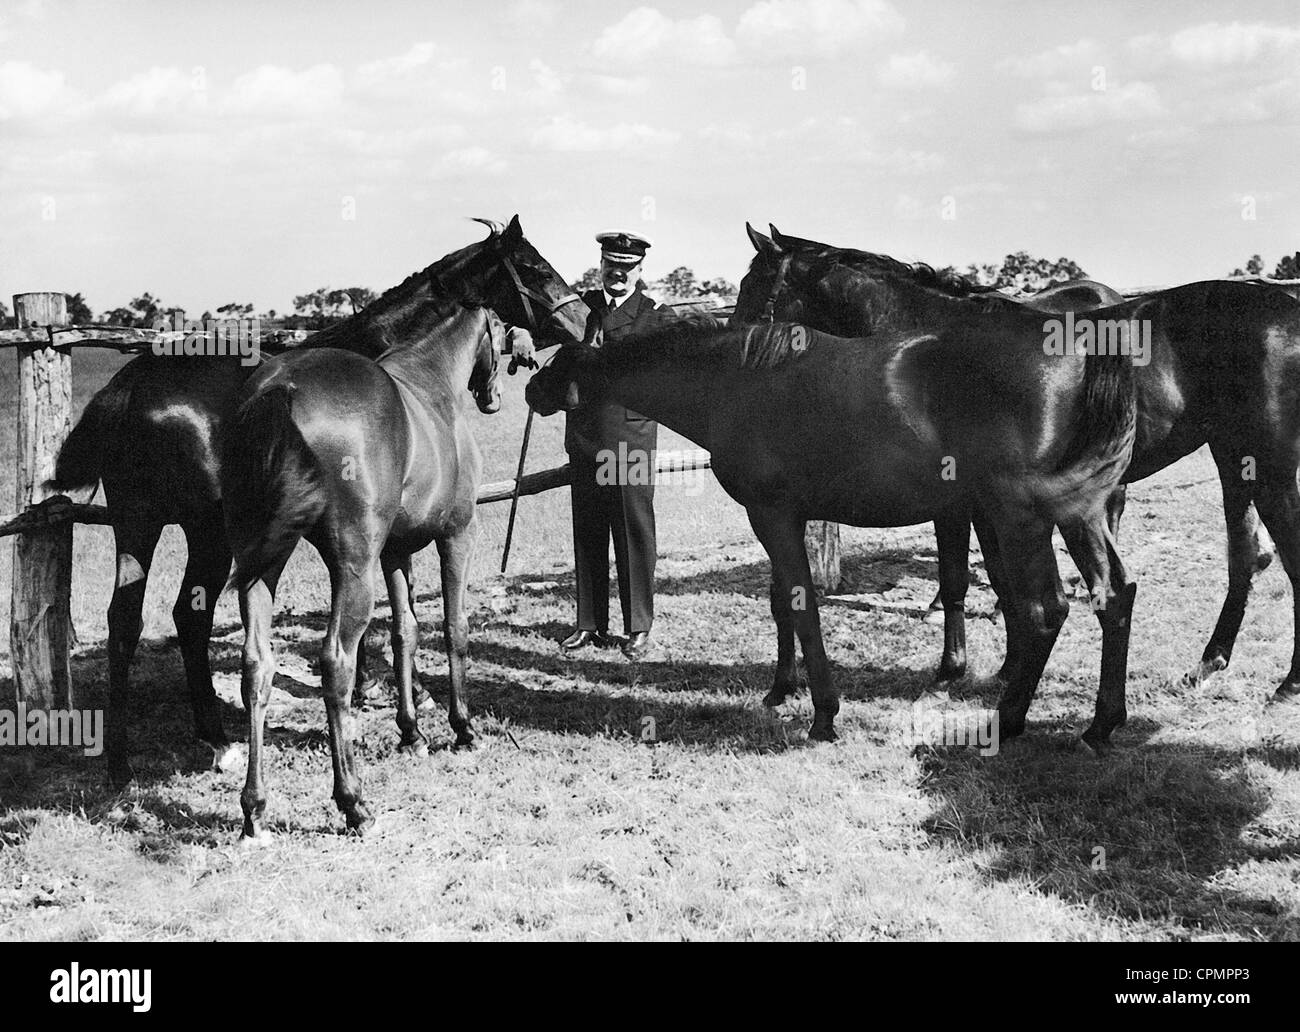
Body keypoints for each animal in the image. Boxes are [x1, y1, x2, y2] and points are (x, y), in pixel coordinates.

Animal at [52, 215, 590, 786]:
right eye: (535, 266)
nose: (582, 321)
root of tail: (131, 384)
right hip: (208, 534)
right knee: (188, 618)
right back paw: (217, 740)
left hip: (138, 525)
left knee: (127, 623)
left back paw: (126, 760)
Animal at [526, 314, 1138, 751]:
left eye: (562, 360)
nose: (531, 389)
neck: (734, 382)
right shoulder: (782, 517)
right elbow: (781, 603)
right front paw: (780, 690)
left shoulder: (771, 514)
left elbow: (802, 605)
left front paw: (823, 715)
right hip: (1079, 514)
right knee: (1113, 595)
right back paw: (1100, 726)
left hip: (1021, 519)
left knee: (1045, 611)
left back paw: (1007, 722)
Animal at [733, 225, 1300, 710]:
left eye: (752, 286)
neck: (921, 349)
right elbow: (1002, 581)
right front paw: (1005, 666)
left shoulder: (957, 504)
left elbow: (963, 580)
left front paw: (954, 668)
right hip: (1234, 456)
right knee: (1246, 557)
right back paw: (1207, 663)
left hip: (1269, 464)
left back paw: (1287, 684)